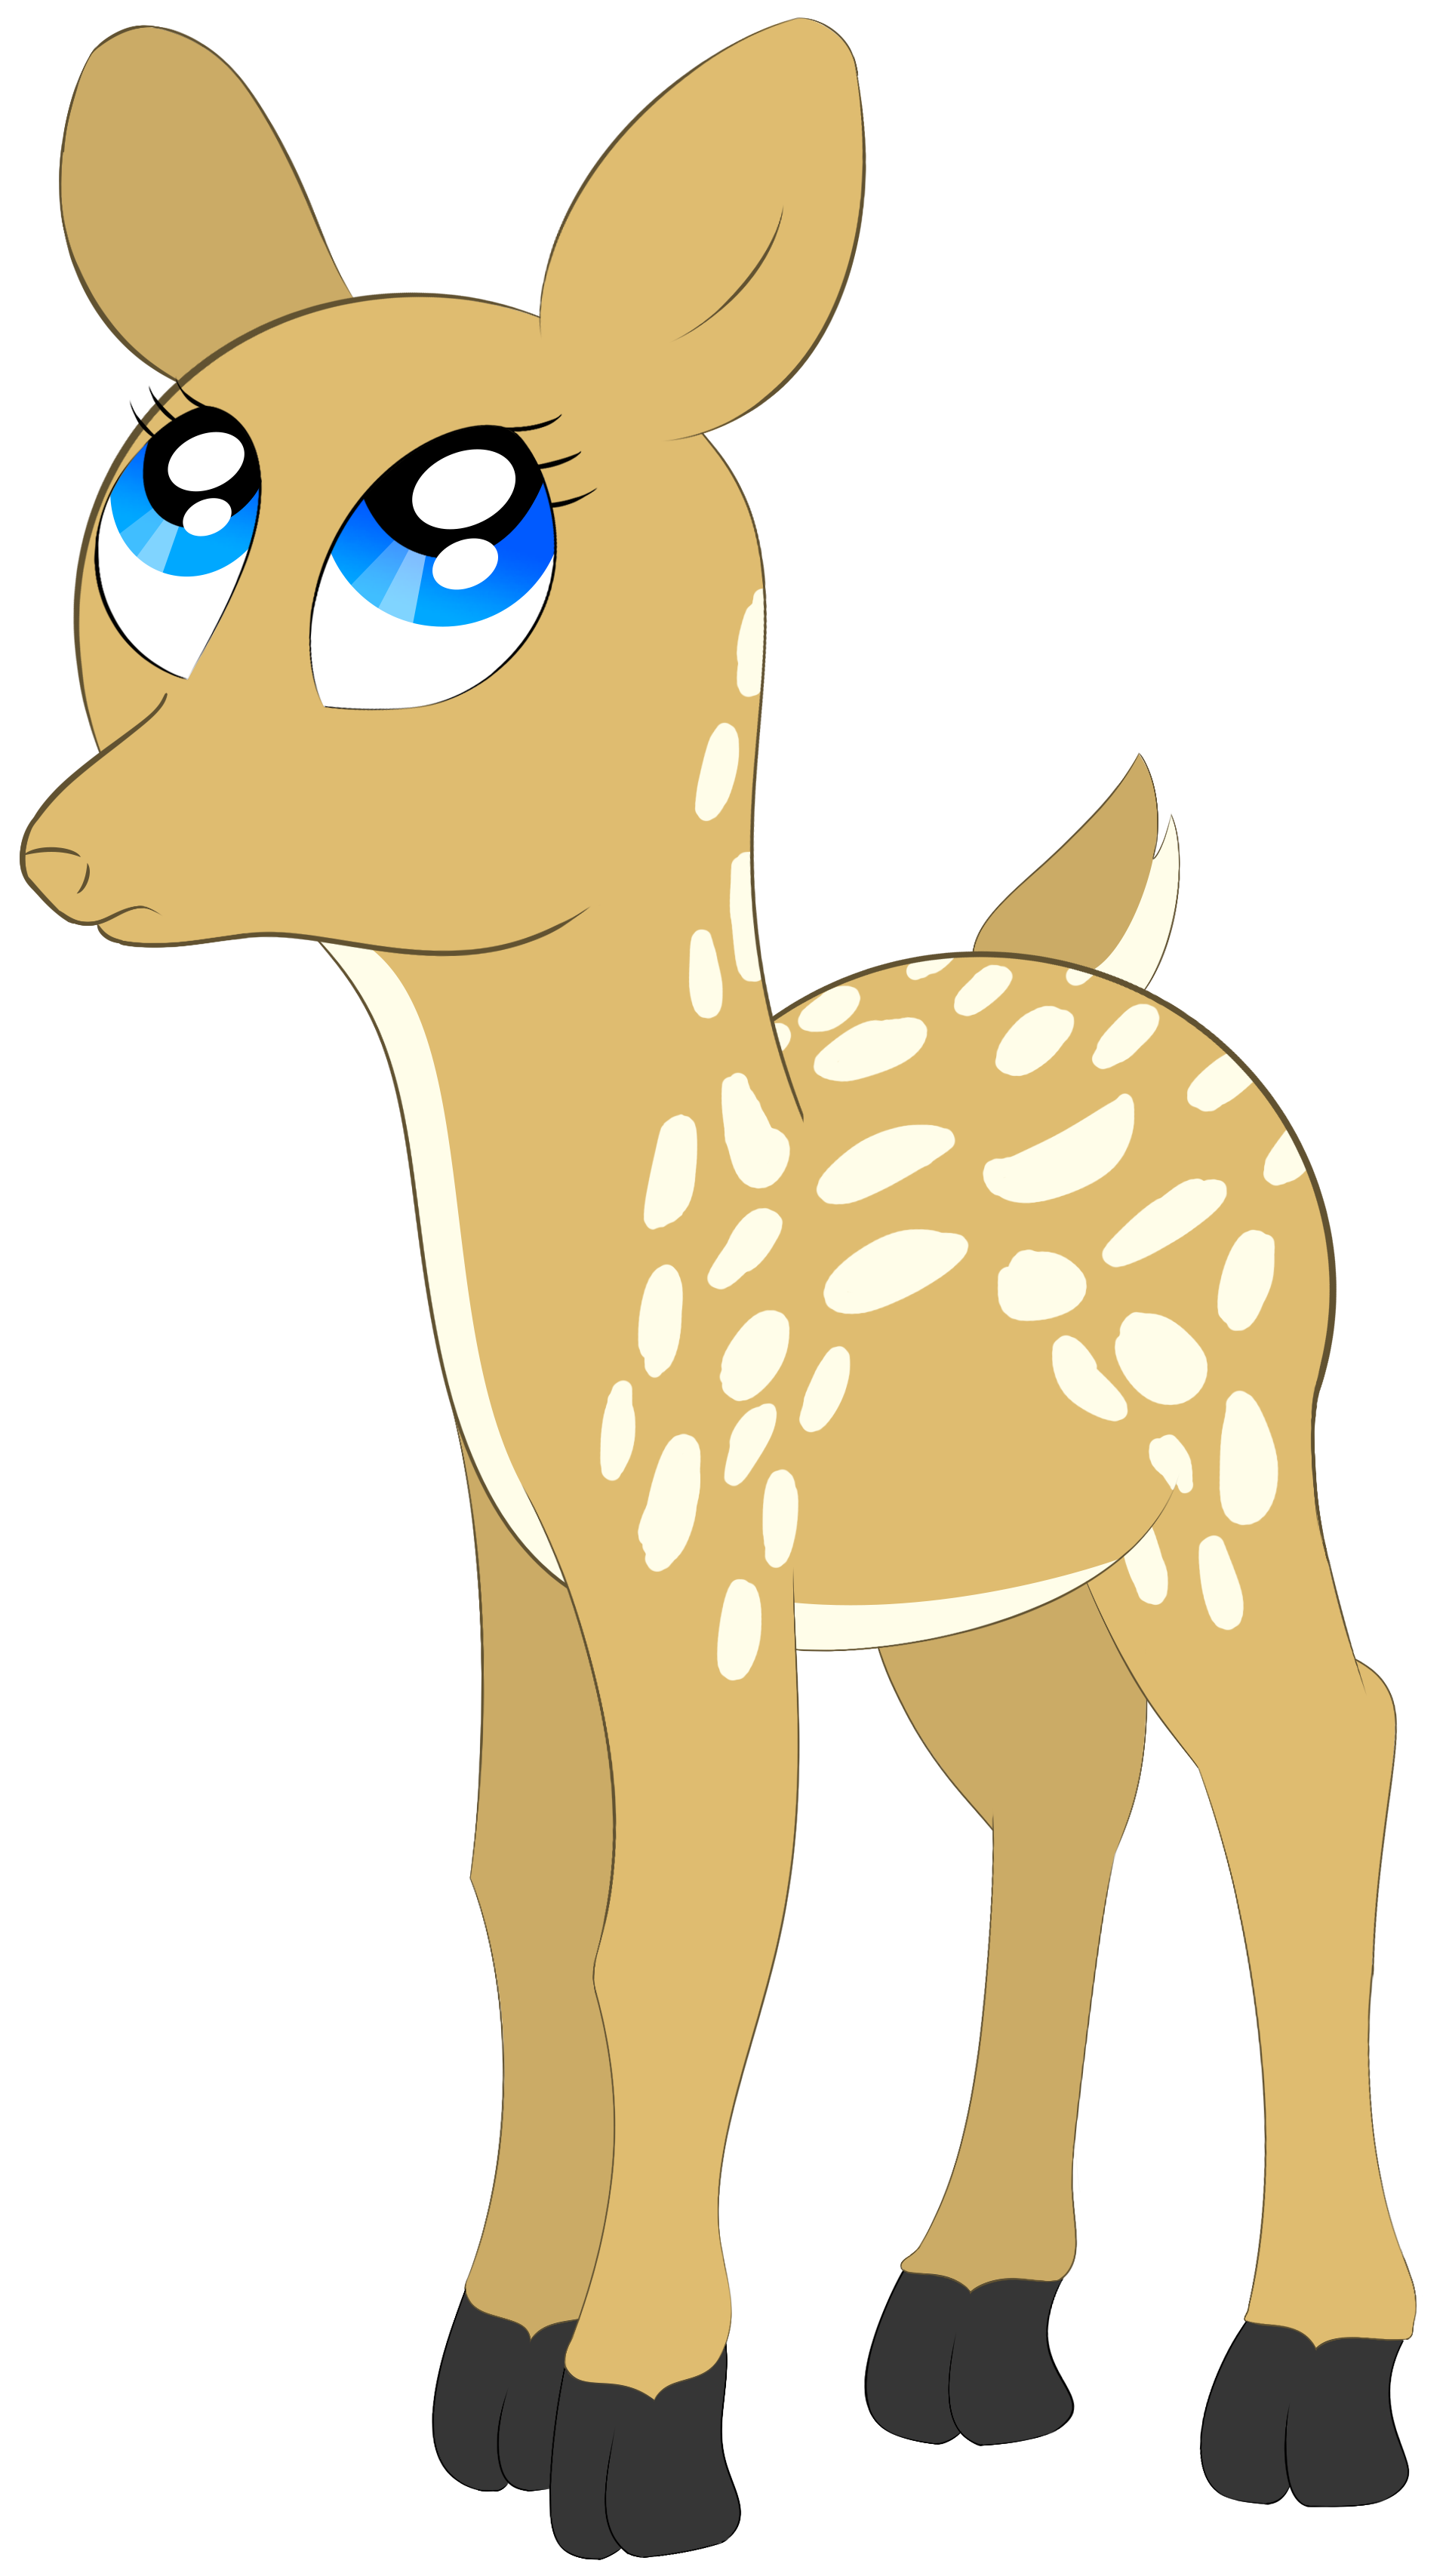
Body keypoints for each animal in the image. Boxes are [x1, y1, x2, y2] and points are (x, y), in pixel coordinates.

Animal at [30, 21, 1413, 2556]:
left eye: (458, 534)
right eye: (175, 506)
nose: (79, 844)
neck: (670, 1229)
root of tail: (1144, 990)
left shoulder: (708, 1542)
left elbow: (671, 1924)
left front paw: (641, 2429)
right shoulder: (536, 1548)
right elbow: (527, 1888)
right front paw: (493, 2380)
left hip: (1219, 1450)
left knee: (1314, 1751)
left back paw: (1306, 2391)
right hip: (991, 1568)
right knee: (1065, 1787)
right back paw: (966, 2333)